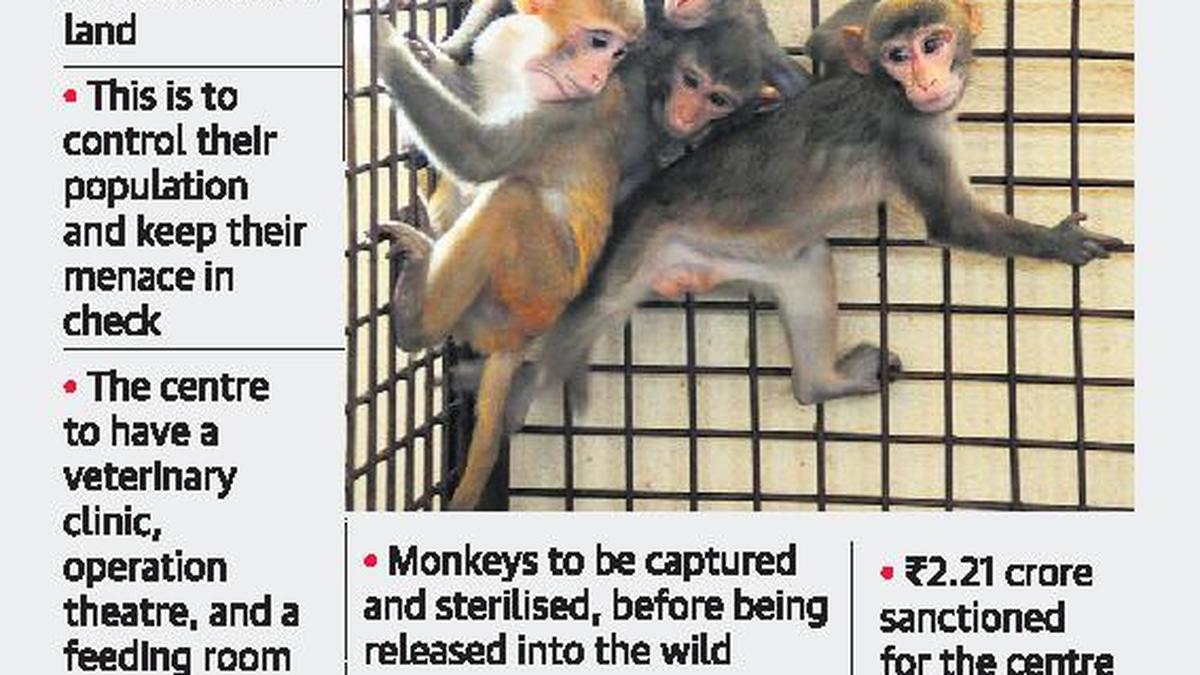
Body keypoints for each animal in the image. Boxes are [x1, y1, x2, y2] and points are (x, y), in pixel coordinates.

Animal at [374, 0, 645, 510]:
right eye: (600, 43)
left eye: (618, 53)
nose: (598, 74)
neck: (533, 63)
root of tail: (521, 335)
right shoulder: (500, 43)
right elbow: (474, 105)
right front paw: (426, 57)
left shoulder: (574, 111)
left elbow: (480, 154)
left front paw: (381, 43)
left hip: (532, 288)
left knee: (511, 196)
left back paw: (417, 319)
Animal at [512, 0, 1124, 421]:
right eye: (901, 56)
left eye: (934, 43)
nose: (927, 80)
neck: (889, 91)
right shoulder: (913, 132)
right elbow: (953, 221)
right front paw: (1061, 242)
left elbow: (822, 50)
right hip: (639, 245)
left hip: (735, 254)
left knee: (805, 263)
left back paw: (821, 384)